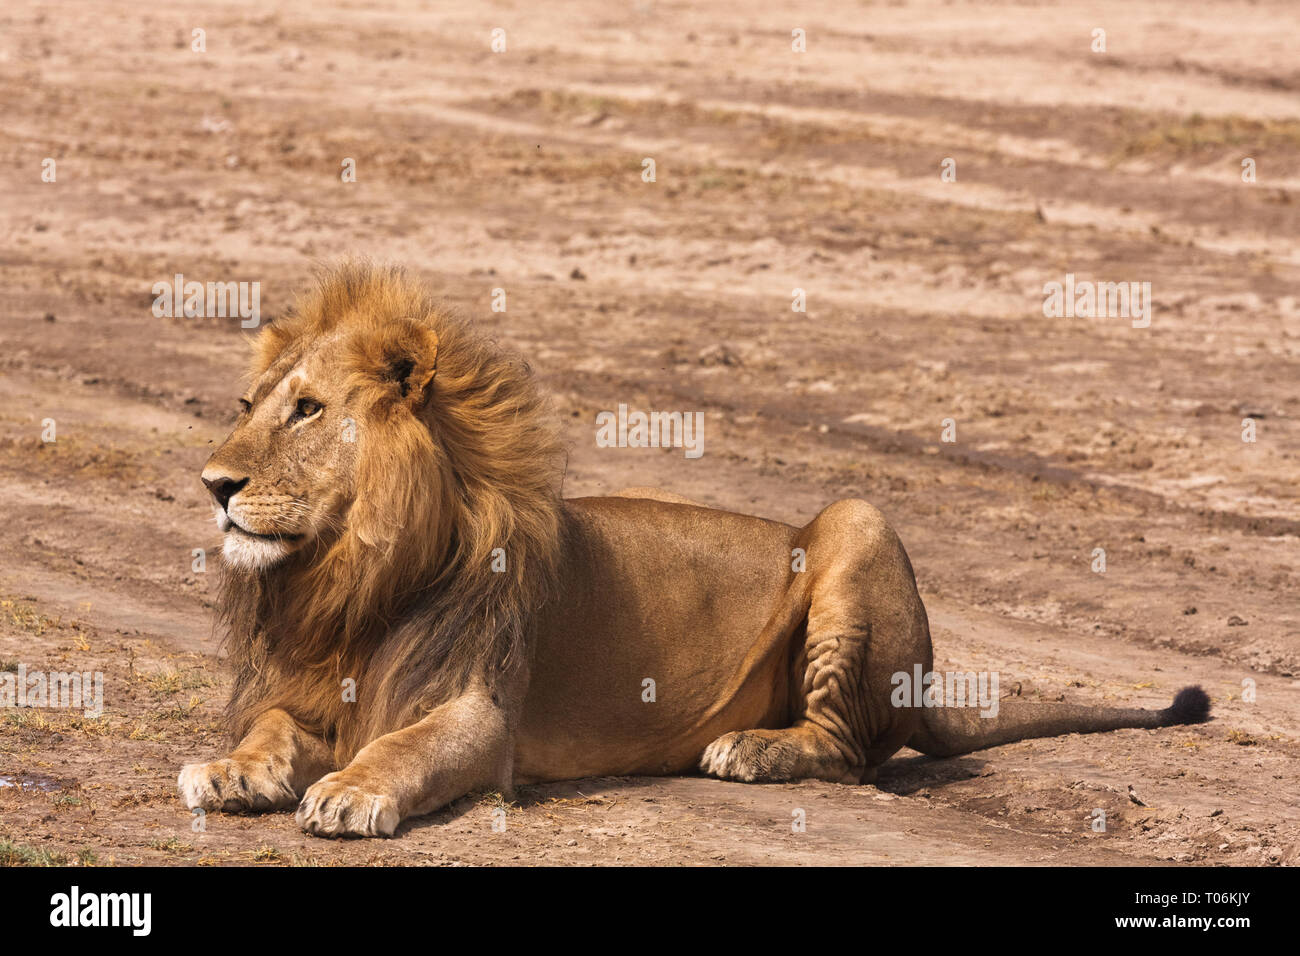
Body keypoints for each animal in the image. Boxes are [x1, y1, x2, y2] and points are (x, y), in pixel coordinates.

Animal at [178, 261, 1211, 837]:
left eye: (309, 411)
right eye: (249, 404)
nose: (214, 484)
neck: (347, 575)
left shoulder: (480, 714)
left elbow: (407, 749)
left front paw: (350, 792)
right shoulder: (314, 690)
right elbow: (271, 728)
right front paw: (229, 770)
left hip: (856, 520)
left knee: (847, 750)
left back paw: (749, 750)